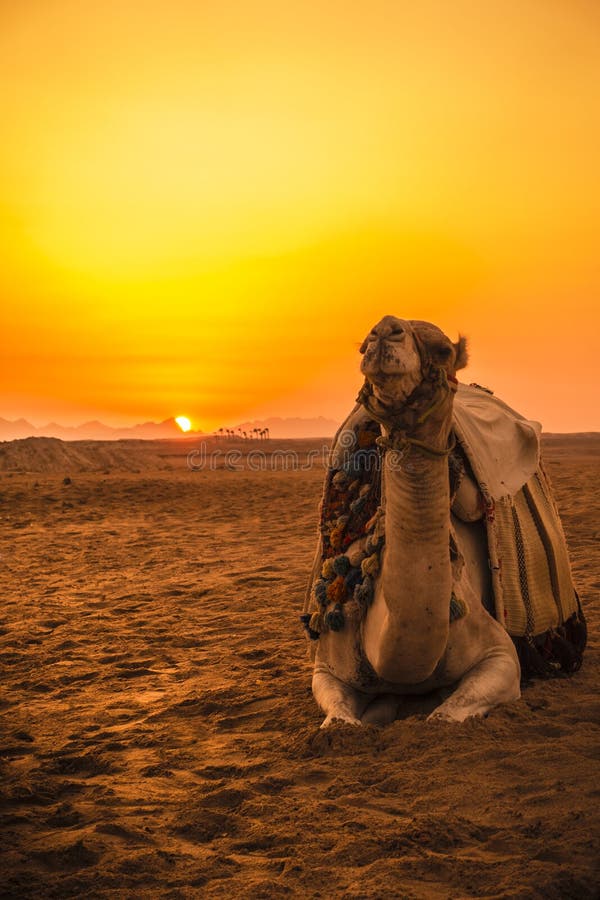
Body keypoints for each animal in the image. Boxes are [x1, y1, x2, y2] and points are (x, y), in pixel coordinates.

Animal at [304, 316, 584, 727]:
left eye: (442, 350)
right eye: (362, 346)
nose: (384, 330)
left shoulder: (500, 655)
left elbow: (443, 717)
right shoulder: (327, 666)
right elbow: (339, 721)